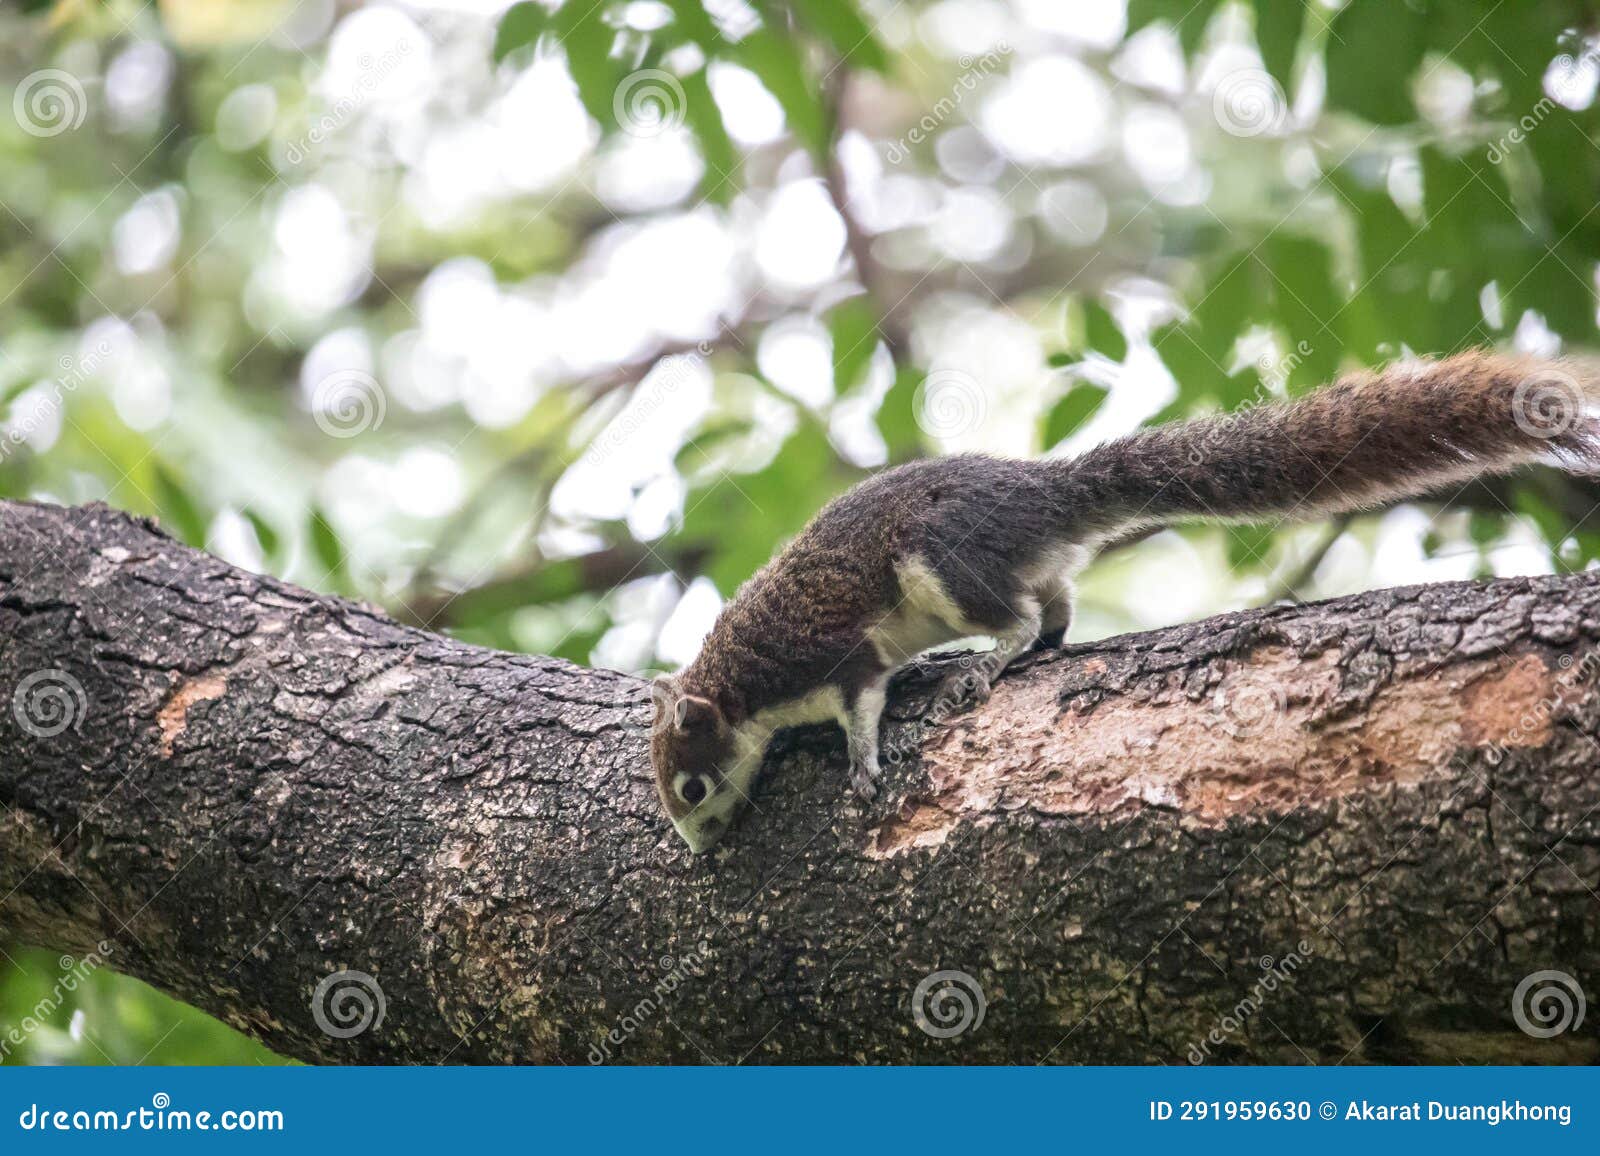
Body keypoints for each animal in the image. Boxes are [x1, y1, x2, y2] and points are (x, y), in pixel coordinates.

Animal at [650, 351, 1600, 853]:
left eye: (691, 787)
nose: (698, 851)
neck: (738, 682)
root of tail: (1043, 496)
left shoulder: (835, 655)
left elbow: (861, 704)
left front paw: (861, 763)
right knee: (1054, 603)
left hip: (940, 559)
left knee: (1017, 616)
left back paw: (985, 666)